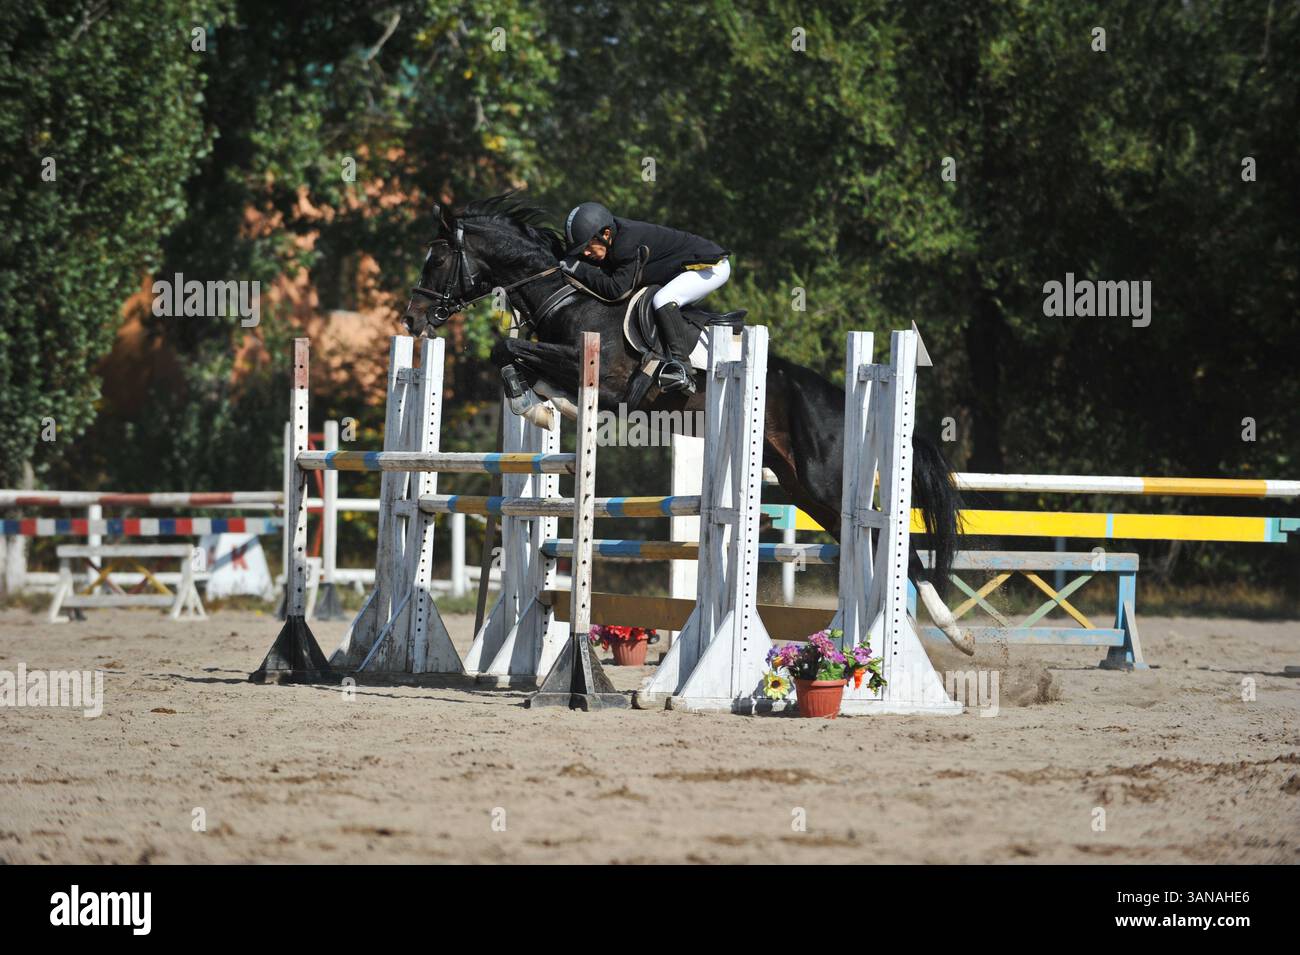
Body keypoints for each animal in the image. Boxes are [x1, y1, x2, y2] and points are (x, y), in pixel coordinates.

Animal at [401, 196, 974, 654]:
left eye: (437, 259)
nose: (411, 319)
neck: (570, 296)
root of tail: (839, 395)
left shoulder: (608, 381)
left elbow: (509, 348)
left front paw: (537, 402)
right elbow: (517, 362)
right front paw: (541, 405)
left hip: (824, 483)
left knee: (902, 551)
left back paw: (952, 635)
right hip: (805, 491)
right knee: (872, 543)